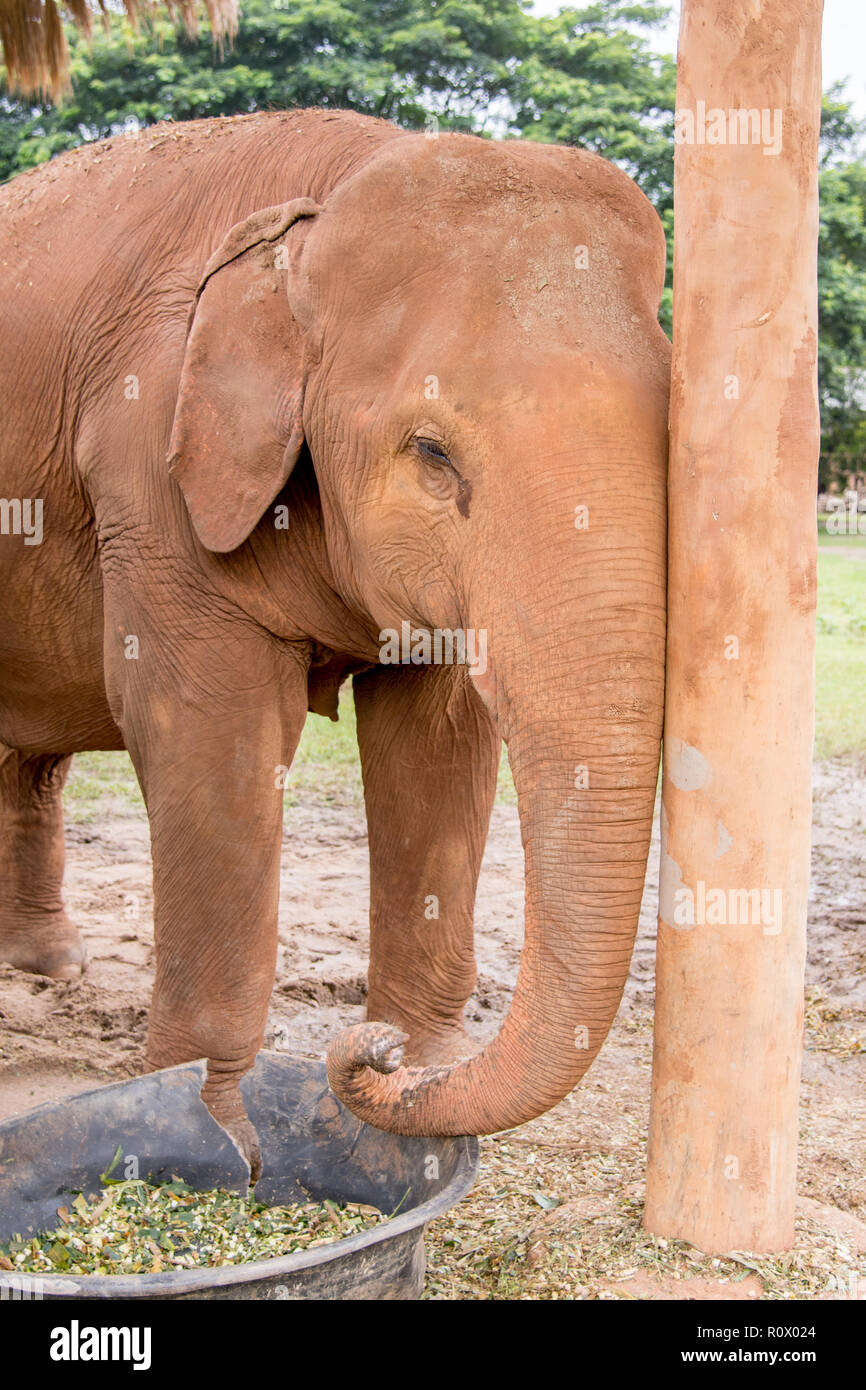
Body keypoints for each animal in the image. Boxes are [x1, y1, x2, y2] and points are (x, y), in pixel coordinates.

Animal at [0, 108, 669, 1174]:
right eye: (433, 454)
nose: (366, 1052)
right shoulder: (149, 461)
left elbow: (437, 746)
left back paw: (49, 965)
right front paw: (211, 1144)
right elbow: (210, 736)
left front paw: (419, 1094)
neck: (325, 197)